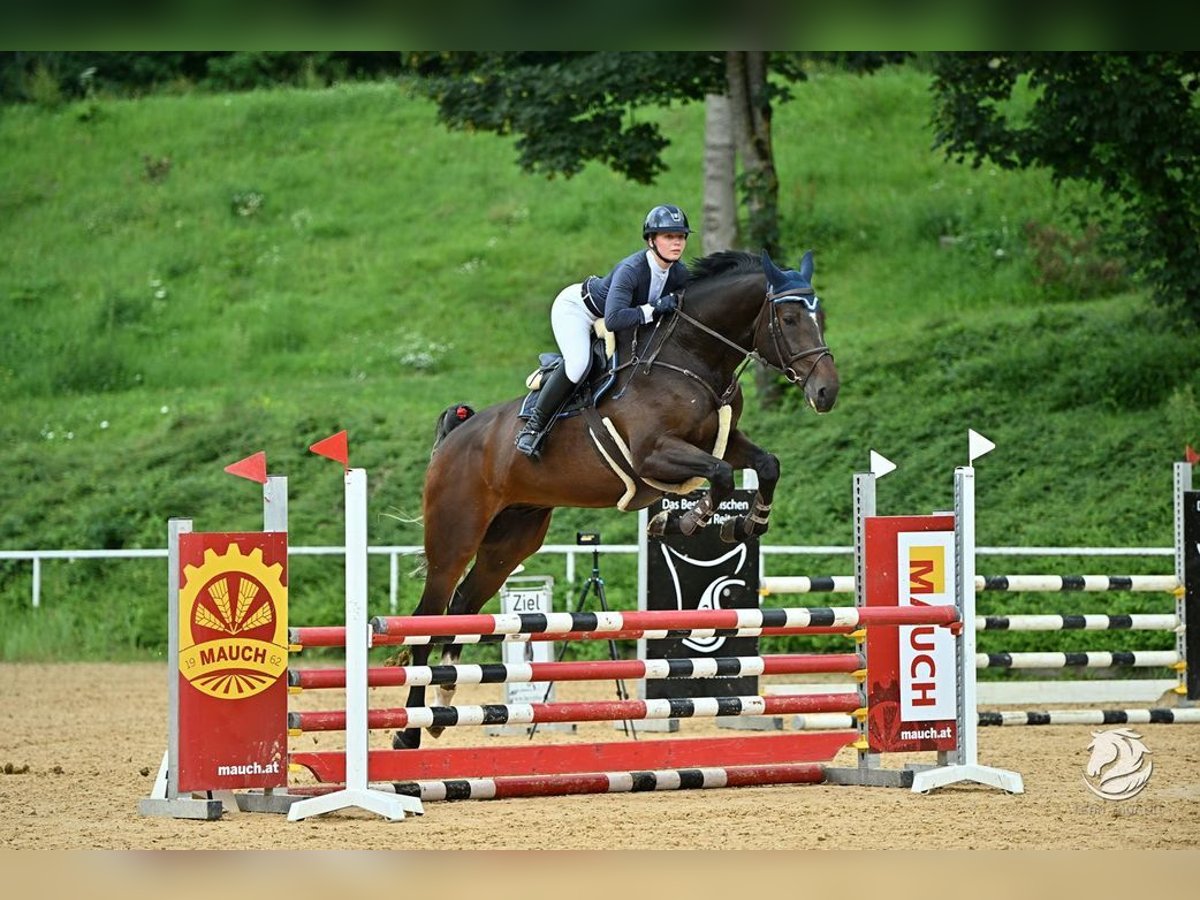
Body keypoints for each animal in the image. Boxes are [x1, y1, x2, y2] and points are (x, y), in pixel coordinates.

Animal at [395, 248, 839, 749]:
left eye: (821, 316)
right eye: (789, 318)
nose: (827, 392)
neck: (691, 356)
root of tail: (455, 438)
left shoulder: (721, 441)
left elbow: (765, 465)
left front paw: (749, 522)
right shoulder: (654, 455)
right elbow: (721, 476)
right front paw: (684, 522)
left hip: (510, 541)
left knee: (463, 606)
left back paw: (443, 705)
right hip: (454, 538)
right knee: (427, 618)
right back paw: (407, 732)